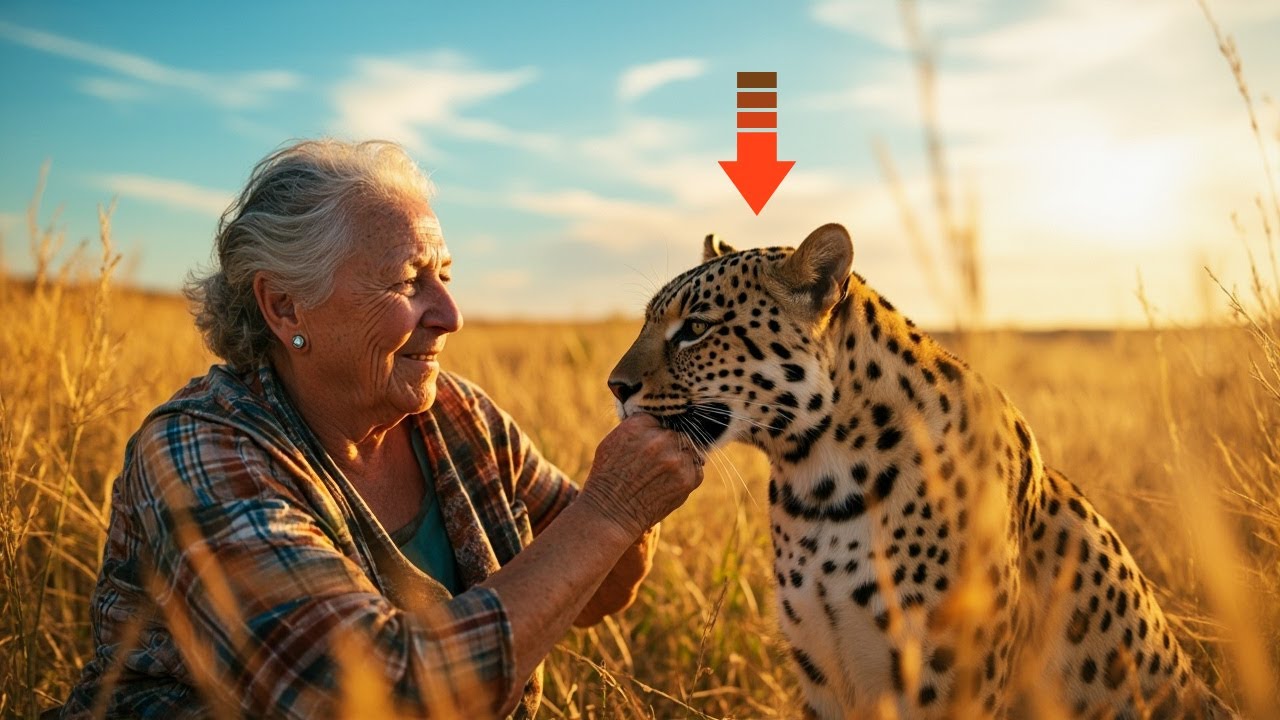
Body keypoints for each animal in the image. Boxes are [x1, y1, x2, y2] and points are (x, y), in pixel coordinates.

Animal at [608, 223, 1234, 719]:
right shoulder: (822, 668)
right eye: (648, 322)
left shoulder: (946, 679)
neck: (817, 482)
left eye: (696, 329)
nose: (616, 387)